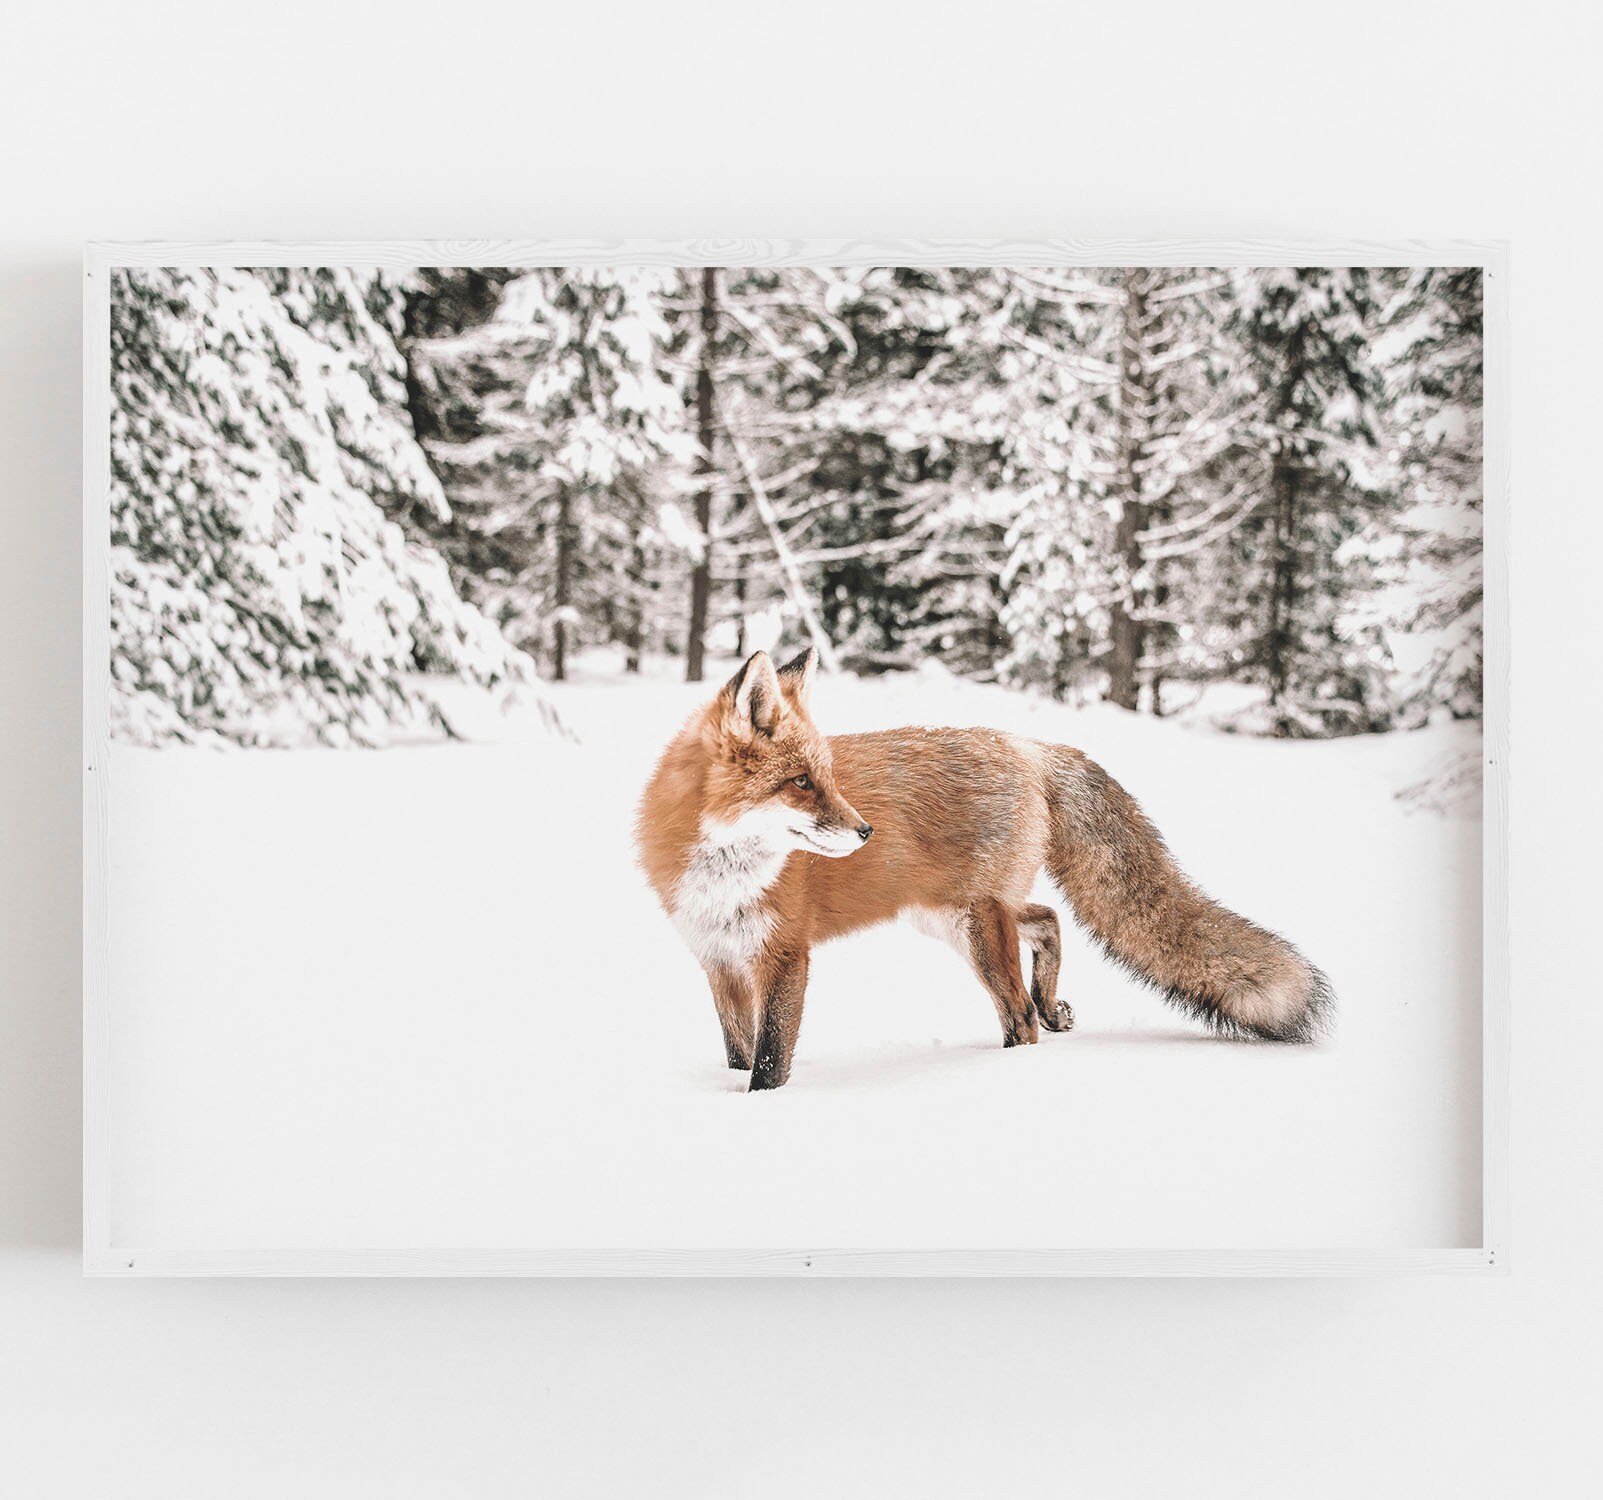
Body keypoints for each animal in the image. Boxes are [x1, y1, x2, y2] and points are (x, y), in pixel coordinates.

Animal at [636, 646, 1332, 1091]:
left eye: (826, 778)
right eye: (802, 782)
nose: (865, 831)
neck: (723, 879)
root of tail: (1029, 745)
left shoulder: (784, 955)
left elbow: (769, 1063)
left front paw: (763, 1109)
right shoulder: (719, 960)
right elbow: (737, 1054)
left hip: (975, 925)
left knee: (1019, 1014)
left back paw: (1013, 1059)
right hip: (950, 916)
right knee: (1048, 919)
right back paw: (1052, 1004)